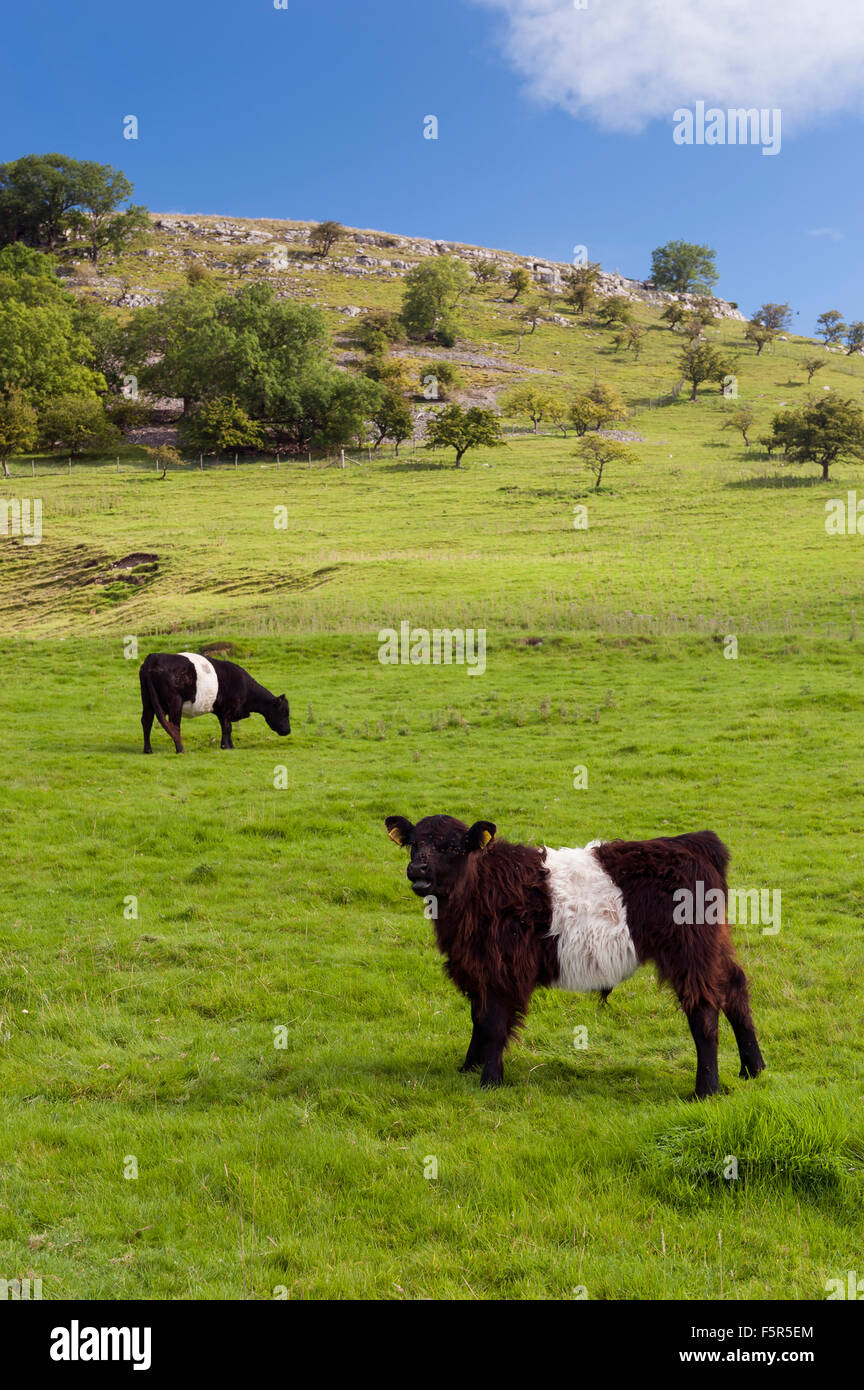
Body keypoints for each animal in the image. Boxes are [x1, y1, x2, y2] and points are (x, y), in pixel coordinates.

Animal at [139, 651, 291, 753]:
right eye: (284, 712)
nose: (288, 730)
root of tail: (154, 656)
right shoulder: (228, 708)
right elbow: (227, 727)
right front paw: (227, 747)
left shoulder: (221, 711)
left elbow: (225, 727)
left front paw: (229, 745)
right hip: (175, 702)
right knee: (174, 725)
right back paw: (180, 749)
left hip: (147, 700)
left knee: (147, 721)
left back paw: (148, 750)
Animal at [385, 814, 766, 1098]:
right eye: (414, 844)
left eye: (451, 847)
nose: (417, 870)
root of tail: (692, 842)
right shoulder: (475, 969)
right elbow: (477, 1019)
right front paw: (469, 1067)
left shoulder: (502, 970)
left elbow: (493, 1024)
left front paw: (489, 1080)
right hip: (713, 947)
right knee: (735, 988)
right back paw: (753, 1069)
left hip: (689, 951)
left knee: (704, 1010)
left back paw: (706, 1089)